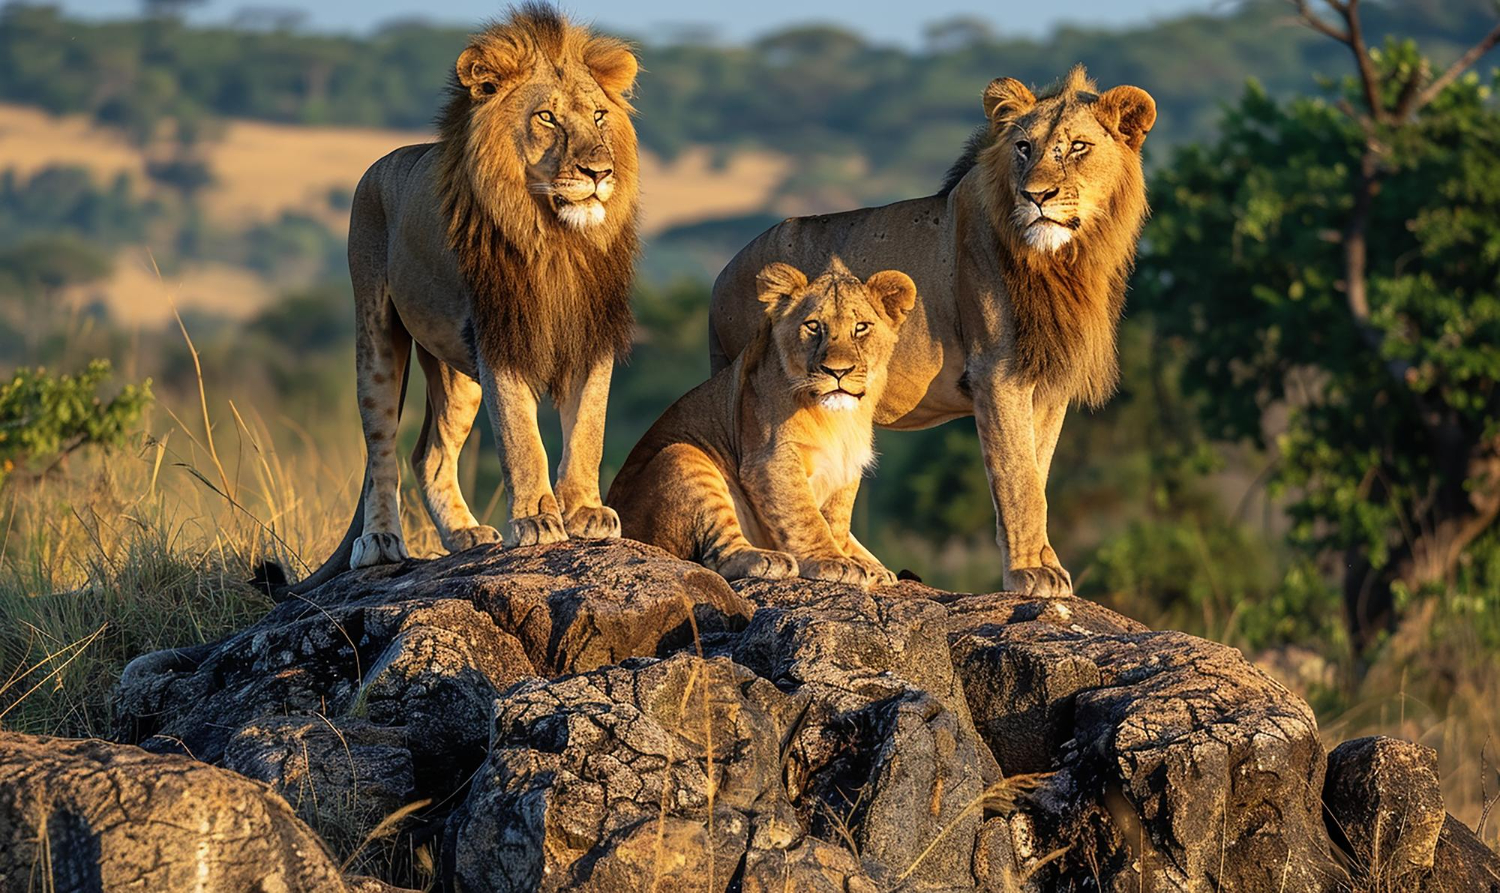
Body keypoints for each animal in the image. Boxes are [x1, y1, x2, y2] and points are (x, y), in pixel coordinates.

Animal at [290, 5, 640, 594]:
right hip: (377, 332)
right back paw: (380, 542)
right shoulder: (500, 335)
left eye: (598, 116)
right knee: (382, 445)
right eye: (547, 118)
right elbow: (522, 438)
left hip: (457, 372)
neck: (557, 240)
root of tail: (388, 160)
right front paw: (537, 520)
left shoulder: (590, 332)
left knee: (428, 454)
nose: (599, 172)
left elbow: (588, 428)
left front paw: (585, 512)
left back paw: (465, 535)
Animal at [608, 259, 917, 588]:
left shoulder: (847, 466)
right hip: (684, 457)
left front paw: (852, 559)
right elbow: (806, 516)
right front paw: (833, 561)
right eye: (813, 326)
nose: (838, 371)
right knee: (720, 556)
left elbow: (837, 519)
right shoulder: (771, 460)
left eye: (861, 328)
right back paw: (769, 559)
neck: (839, 418)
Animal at [708, 66, 1155, 597]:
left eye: (1078, 147)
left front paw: (1045, 560)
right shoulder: (997, 373)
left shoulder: (1047, 383)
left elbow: (1038, 471)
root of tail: (720, 279)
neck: (1065, 259)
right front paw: (1030, 572)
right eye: (1024, 148)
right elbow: (1018, 478)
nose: (1036, 196)